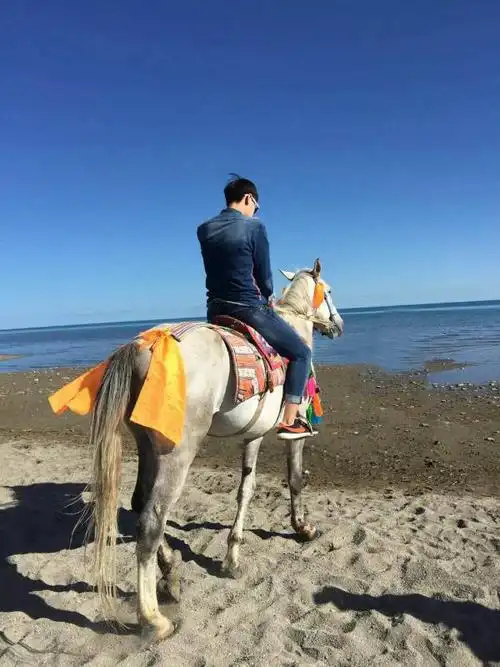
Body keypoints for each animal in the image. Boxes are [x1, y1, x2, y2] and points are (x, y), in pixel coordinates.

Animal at [83, 258, 343, 641]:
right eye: (330, 290)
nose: (338, 324)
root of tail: (144, 346)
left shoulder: (253, 435)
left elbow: (246, 489)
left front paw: (232, 558)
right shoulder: (293, 435)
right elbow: (294, 479)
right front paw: (303, 529)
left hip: (146, 444)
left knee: (139, 503)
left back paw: (172, 576)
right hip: (177, 452)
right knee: (151, 520)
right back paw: (154, 619)